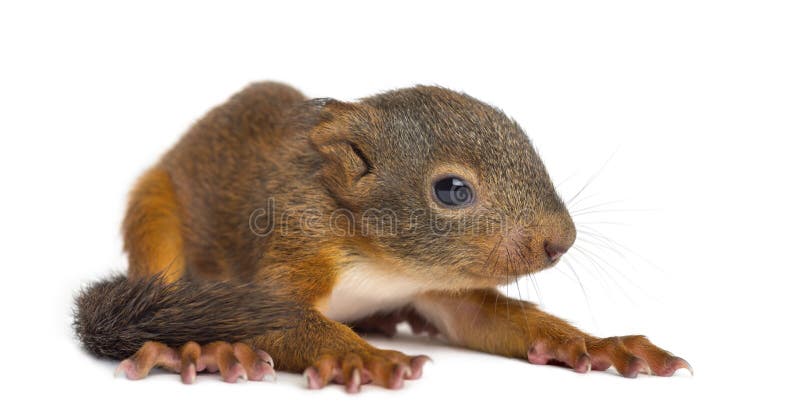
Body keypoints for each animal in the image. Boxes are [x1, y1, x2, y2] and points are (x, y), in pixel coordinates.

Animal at [73, 82, 691, 392]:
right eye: (452, 190)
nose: (560, 241)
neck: (383, 261)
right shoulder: (297, 235)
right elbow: (276, 316)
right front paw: (363, 360)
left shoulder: (441, 289)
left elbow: (487, 320)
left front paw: (599, 344)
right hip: (155, 213)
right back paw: (198, 350)